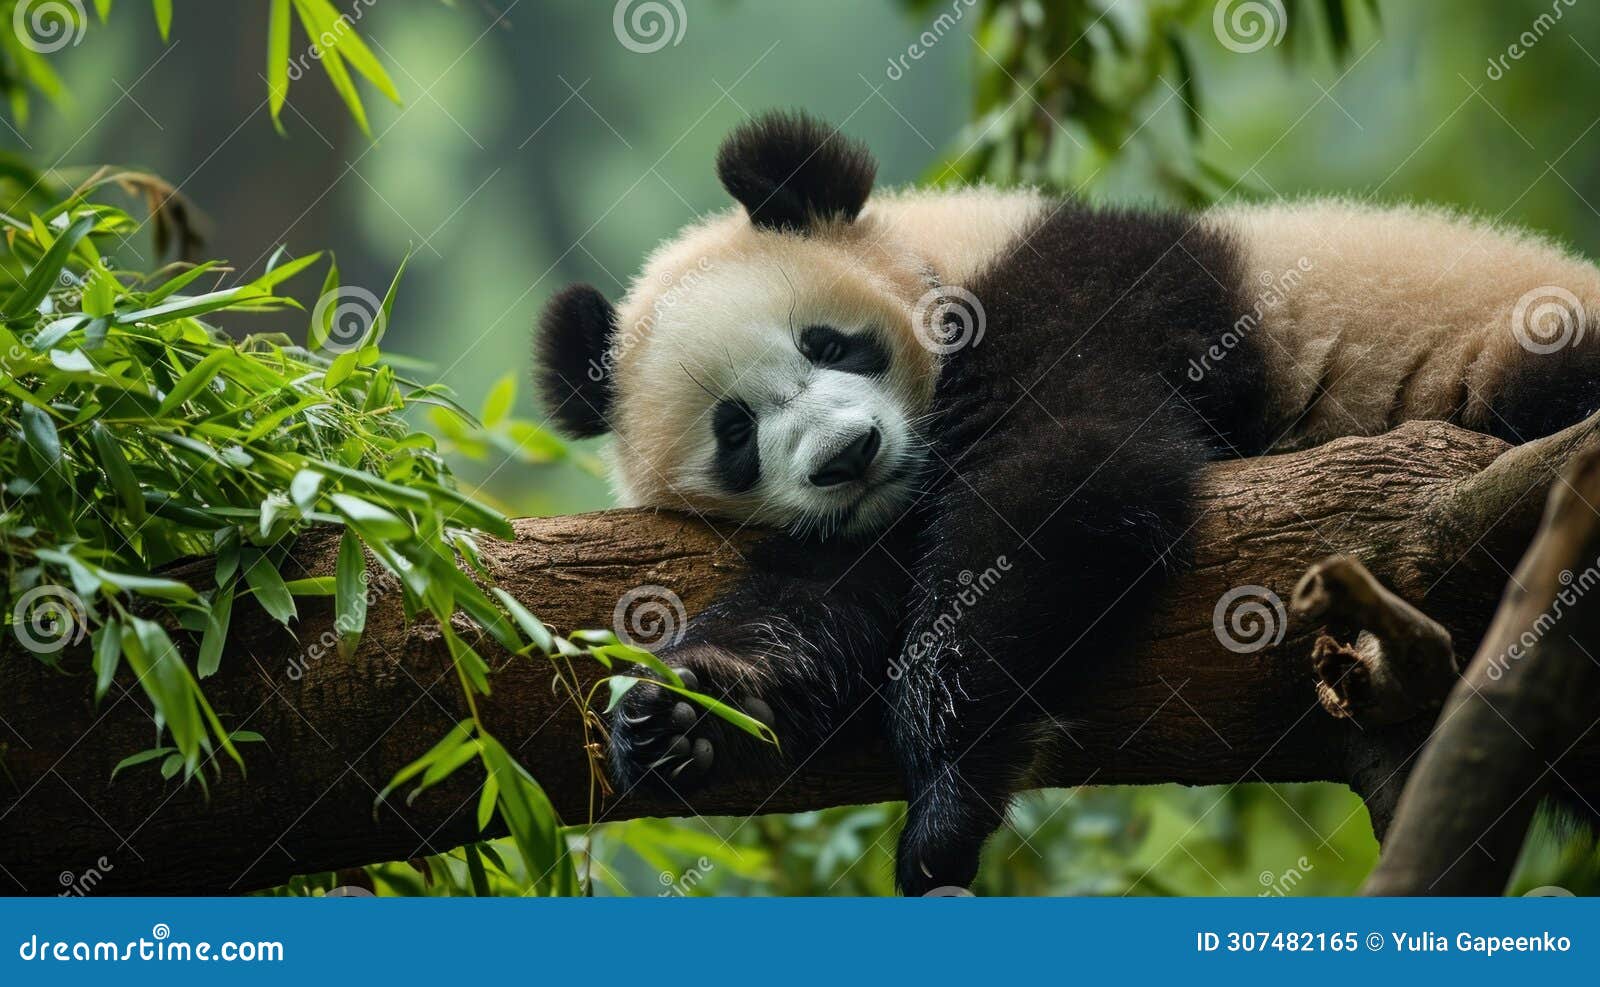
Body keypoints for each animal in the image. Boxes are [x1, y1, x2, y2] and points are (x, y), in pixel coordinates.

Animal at [533, 110, 1600, 895]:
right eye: (736, 433)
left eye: (829, 342)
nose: (847, 455)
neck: (940, 257)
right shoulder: (872, 517)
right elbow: (825, 599)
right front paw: (684, 715)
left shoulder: (1083, 295)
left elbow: (1068, 478)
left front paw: (945, 805)